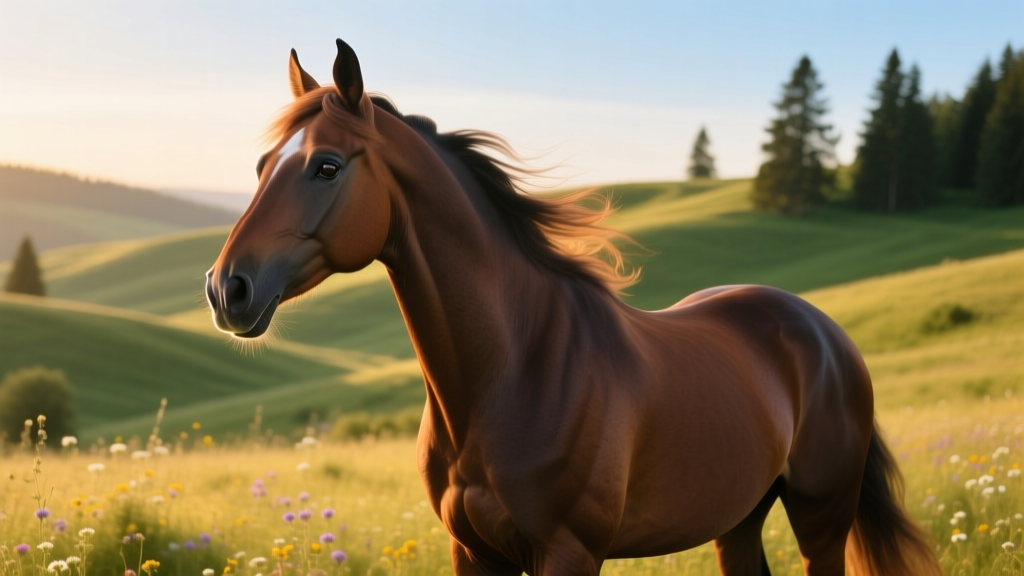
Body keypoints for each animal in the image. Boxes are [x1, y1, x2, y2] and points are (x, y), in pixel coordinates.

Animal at [206, 39, 942, 576]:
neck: (513, 373)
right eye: (262, 166)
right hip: (739, 519)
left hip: (821, 518)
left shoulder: (569, 553)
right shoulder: (473, 552)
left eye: (327, 166)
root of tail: (824, 332)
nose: (226, 288)